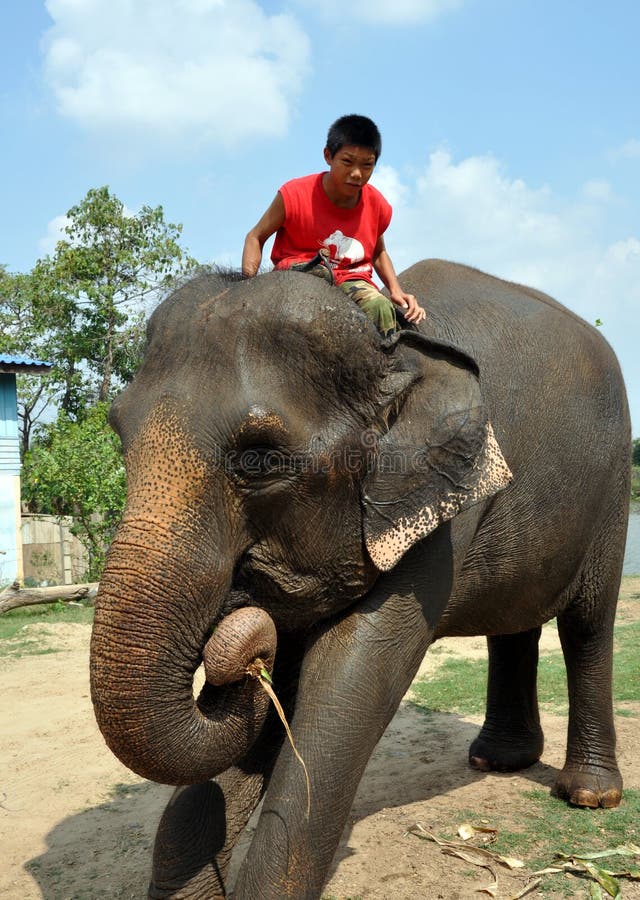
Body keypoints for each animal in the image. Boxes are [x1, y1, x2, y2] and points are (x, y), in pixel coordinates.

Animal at [90, 258, 630, 899]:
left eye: (260, 460)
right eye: (118, 435)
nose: (241, 648)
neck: (391, 350)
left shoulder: (438, 506)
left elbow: (346, 674)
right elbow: (289, 681)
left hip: (614, 488)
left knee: (587, 624)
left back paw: (590, 795)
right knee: (513, 622)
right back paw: (496, 761)